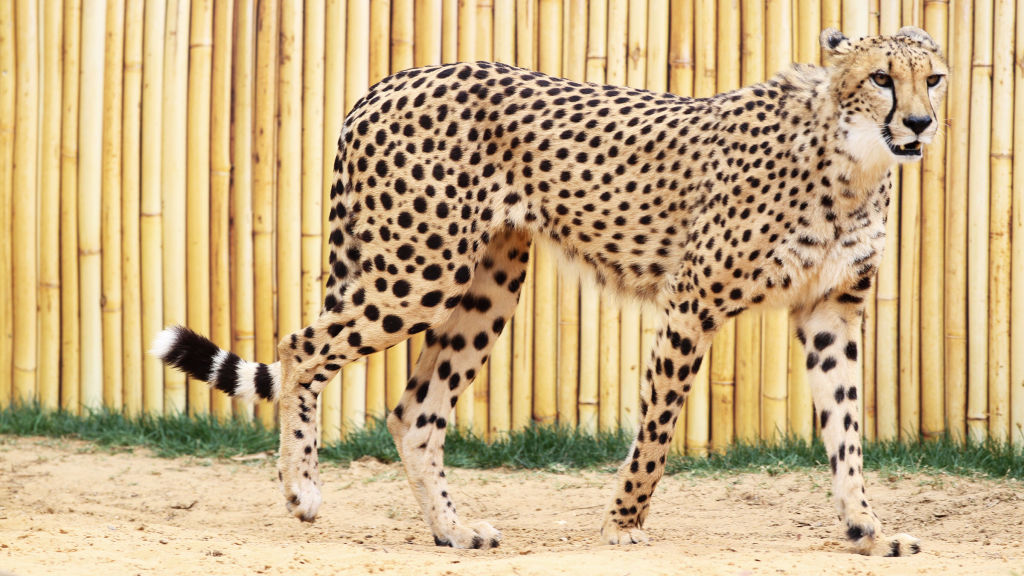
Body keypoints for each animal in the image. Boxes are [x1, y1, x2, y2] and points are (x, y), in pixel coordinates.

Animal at [152, 27, 947, 556]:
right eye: (882, 77)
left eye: (932, 78)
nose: (919, 121)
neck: (853, 161)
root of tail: (392, 78)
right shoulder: (690, 303)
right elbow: (658, 428)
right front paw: (623, 524)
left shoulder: (831, 310)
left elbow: (846, 429)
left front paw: (864, 528)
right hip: (415, 273)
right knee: (300, 347)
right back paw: (301, 491)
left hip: (489, 284)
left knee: (415, 411)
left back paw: (452, 530)